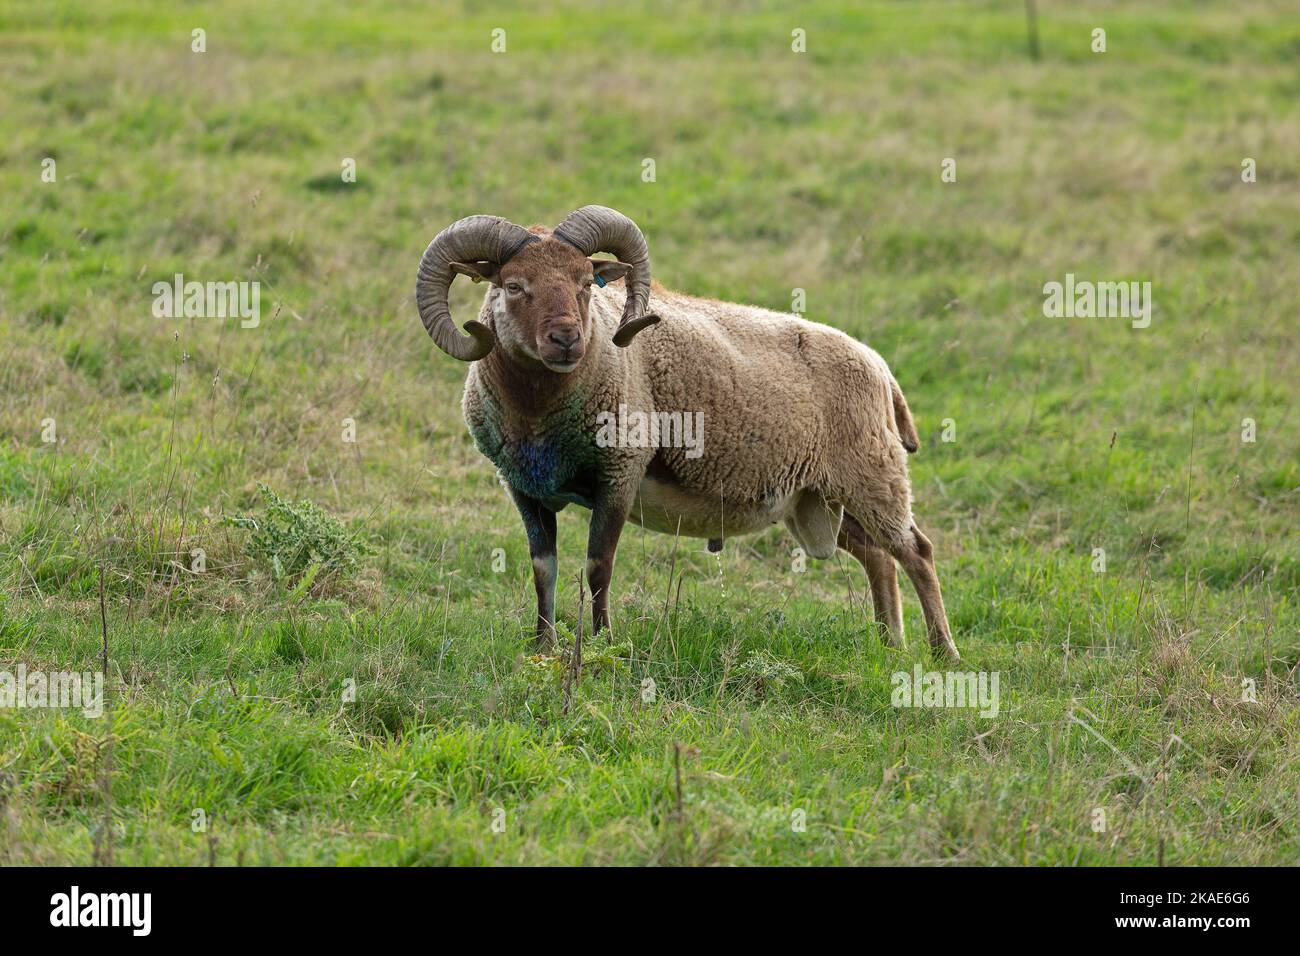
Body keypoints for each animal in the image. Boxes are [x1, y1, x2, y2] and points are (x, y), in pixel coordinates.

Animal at [416, 205, 959, 662]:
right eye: (512, 286)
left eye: (586, 283)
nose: (567, 339)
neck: (540, 413)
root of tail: (880, 367)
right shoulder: (523, 487)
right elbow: (542, 569)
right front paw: (543, 646)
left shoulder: (619, 475)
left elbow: (598, 566)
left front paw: (603, 643)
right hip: (818, 497)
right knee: (878, 557)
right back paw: (889, 645)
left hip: (873, 475)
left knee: (916, 552)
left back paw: (943, 653)